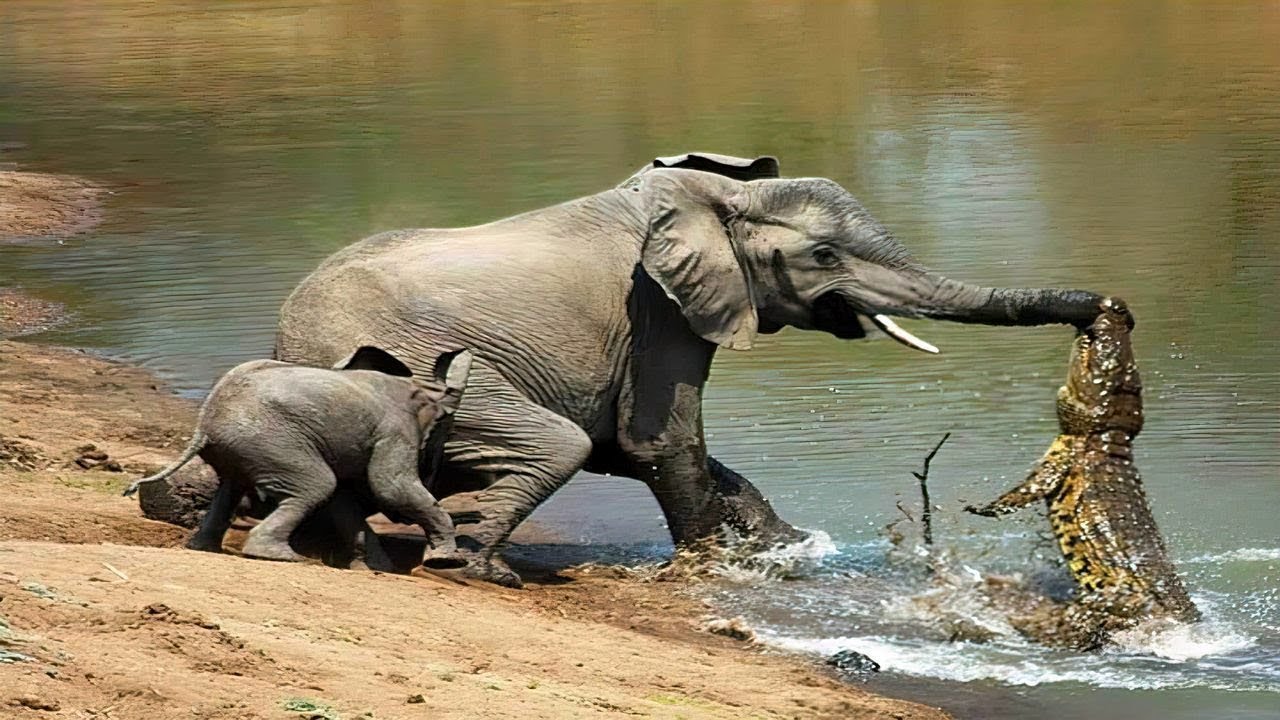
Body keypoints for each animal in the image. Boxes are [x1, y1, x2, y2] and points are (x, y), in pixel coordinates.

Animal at [124, 346, 473, 569]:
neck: (418, 388)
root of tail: (203, 424)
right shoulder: (395, 431)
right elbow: (389, 488)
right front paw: (446, 561)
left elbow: (345, 501)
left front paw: (377, 569)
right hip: (273, 441)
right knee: (316, 486)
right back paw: (279, 557)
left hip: (246, 448)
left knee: (231, 489)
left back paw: (203, 548)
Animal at [275, 152, 1105, 588]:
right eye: (823, 255)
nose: (1104, 308)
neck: (717, 195)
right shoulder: (659, 309)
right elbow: (657, 442)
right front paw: (720, 568)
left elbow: (631, 446)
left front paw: (786, 546)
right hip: (419, 371)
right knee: (552, 447)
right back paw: (479, 569)